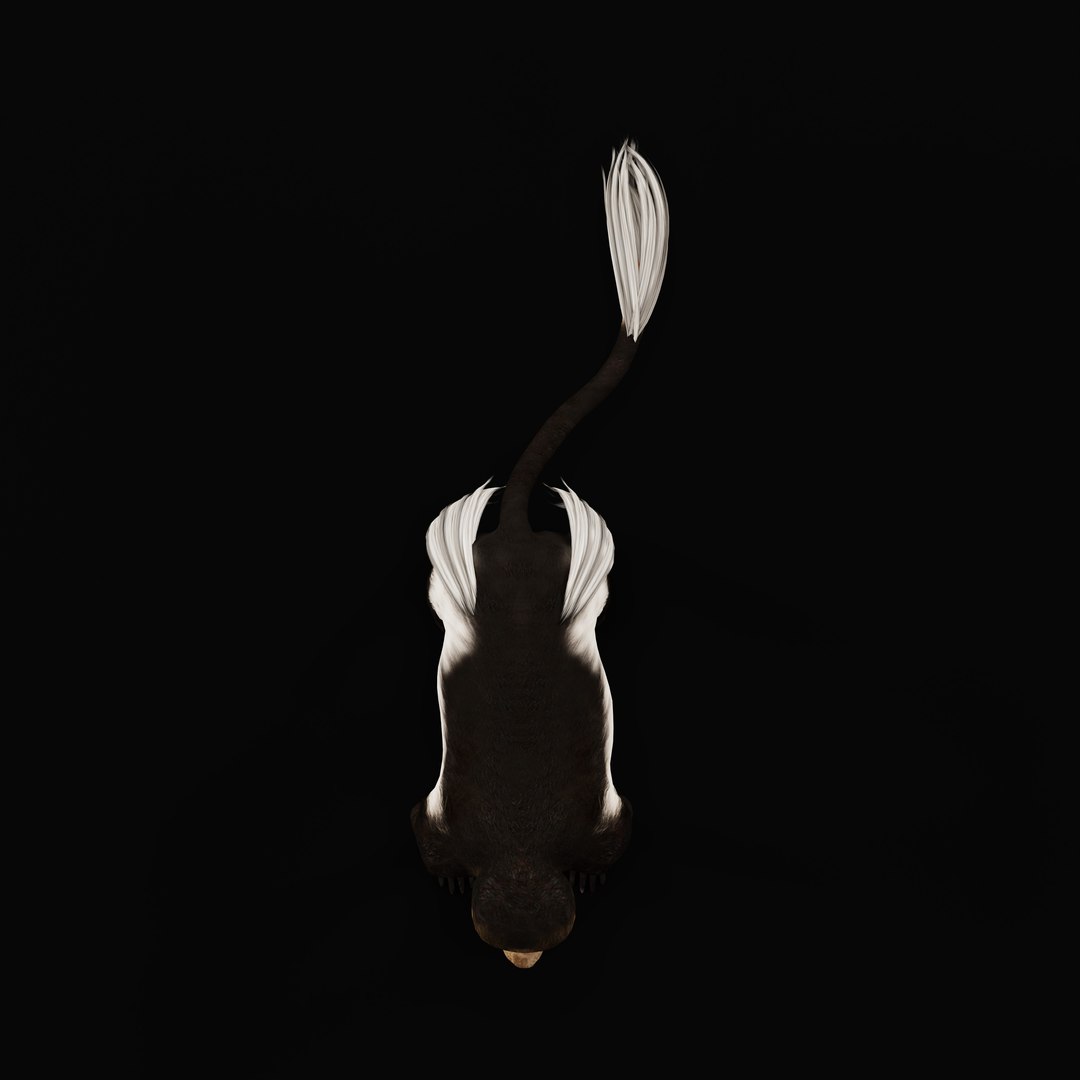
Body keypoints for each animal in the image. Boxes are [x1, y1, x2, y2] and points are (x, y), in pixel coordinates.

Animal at [411, 141, 668, 967]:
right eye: (496, 935)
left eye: (550, 933)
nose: (522, 961)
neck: (521, 848)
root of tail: (522, 543)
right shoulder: (449, 820)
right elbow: (431, 842)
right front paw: (449, 881)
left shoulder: (595, 817)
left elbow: (611, 840)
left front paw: (589, 877)